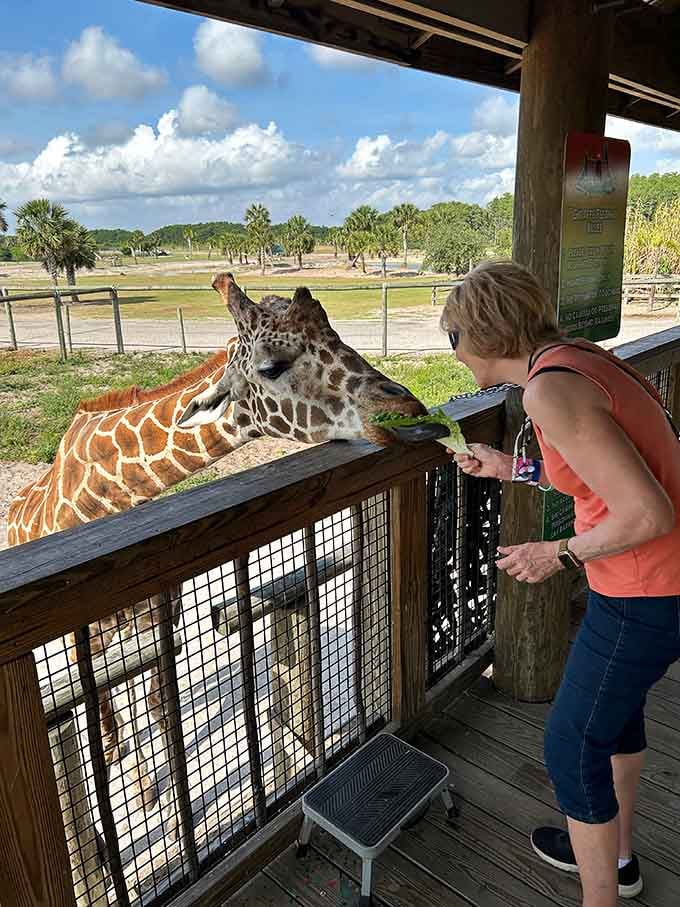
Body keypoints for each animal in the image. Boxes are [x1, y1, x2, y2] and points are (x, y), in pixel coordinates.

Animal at [7, 272, 426, 818]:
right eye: (271, 366)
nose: (405, 406)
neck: (104, 497)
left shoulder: (158, 618)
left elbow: (157, 703)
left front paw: (157, 796)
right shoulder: (95, 634)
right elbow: (114, 695)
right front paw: (142, 795)